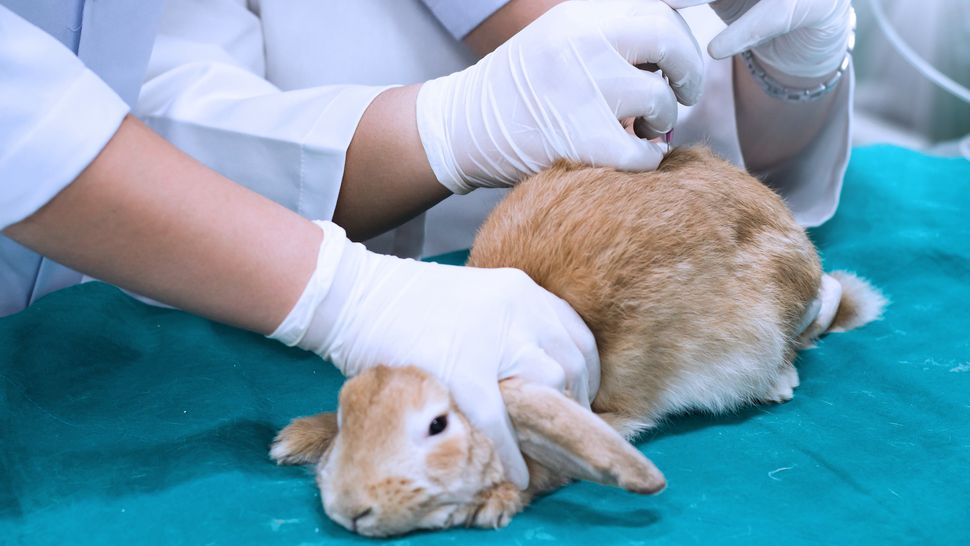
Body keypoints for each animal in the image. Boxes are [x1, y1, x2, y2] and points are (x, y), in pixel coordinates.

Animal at [270, 146, 887, 537]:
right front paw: (296, 441)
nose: (348, 507)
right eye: (350, 412)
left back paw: (782, 377)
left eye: (436, 427)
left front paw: (495, 504)